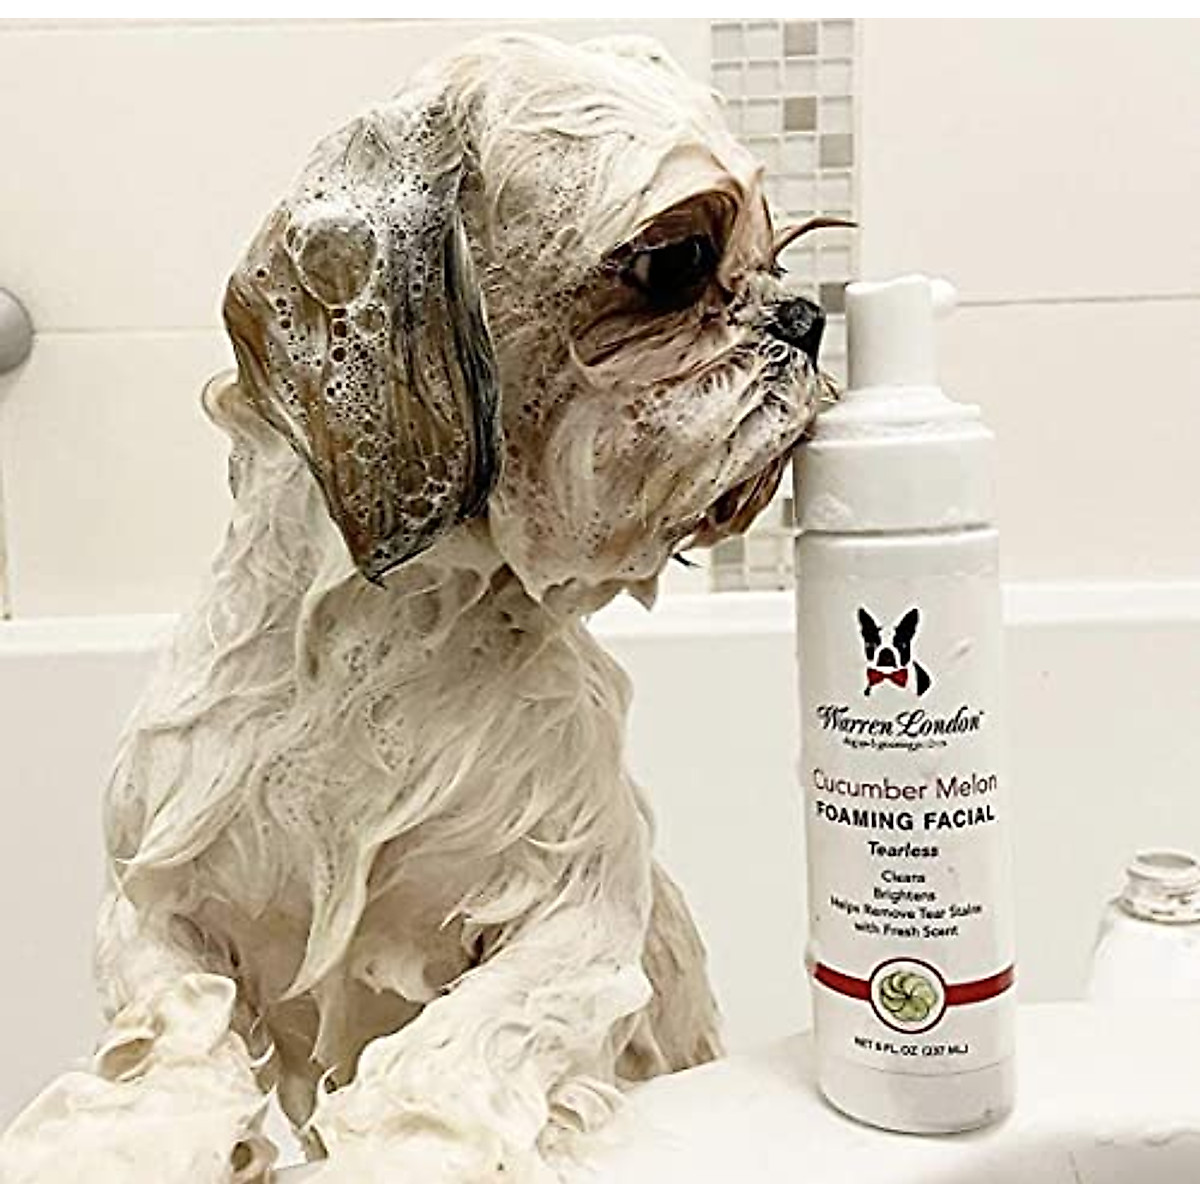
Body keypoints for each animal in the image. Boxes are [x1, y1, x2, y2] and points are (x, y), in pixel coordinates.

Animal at [0, 34, 833, 1183]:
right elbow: (165, 1032)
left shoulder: (571, 904)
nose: (809, 316)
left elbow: (461, 1049)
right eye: (676, 262)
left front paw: (403, 1156)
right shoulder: (158, 896)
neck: (383, 647)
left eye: (772, 251)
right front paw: (114, 1150)